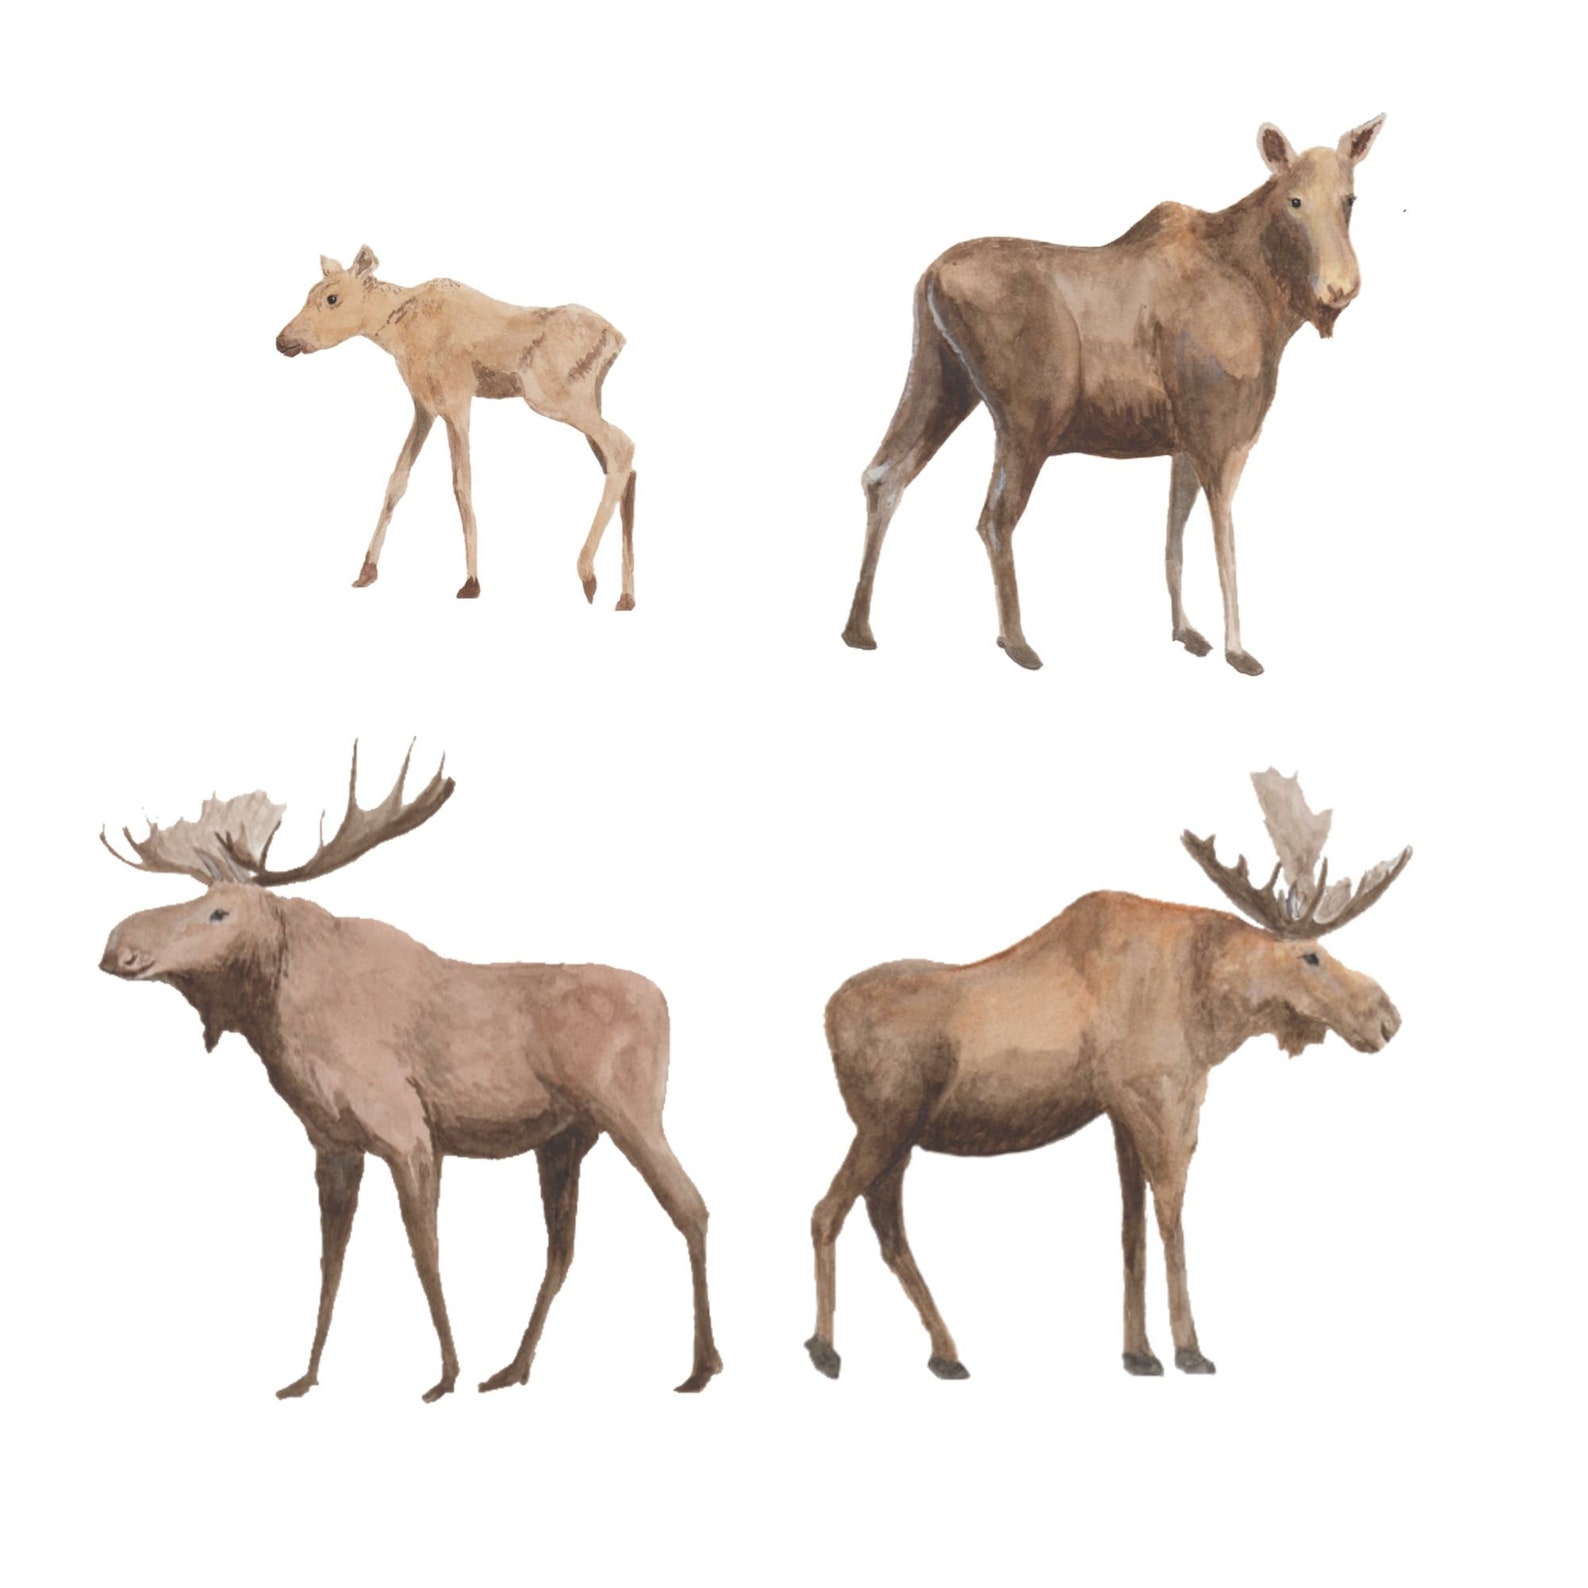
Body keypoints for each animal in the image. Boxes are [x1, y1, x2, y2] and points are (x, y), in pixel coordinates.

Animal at [98, 747, 720, 1401]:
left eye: (219, 912)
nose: (118, 947)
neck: (281, 1021)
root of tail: (663, 999)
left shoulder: (409, 1133)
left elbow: (425, 1253)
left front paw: (445, 1373)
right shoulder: (333, 1143)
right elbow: (331, 1261)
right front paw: (307, 1375)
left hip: (633, 1113)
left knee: (692, 1209)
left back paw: (701, 1366)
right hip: (564, 1139)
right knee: (562, 1249)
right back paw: (514, 1368)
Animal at [276, 248, 637, 606]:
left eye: (332, 298)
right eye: (309, 293)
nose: (282, 340)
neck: (395, 333)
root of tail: (618, 339)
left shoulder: (457, 400)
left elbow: (462, 484)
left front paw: (471, 581)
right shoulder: (424, 408)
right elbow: (396, 482)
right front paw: (367, 570)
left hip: (554, 397)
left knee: (622, 446)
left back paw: (587, 573)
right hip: (587, 400)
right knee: (622, 464)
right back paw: (625, 595)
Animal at [806, 771, 1409, 1382]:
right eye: (1311, 956)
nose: (1387, 1017)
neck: (1212, 1009)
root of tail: (826, 1014)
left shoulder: (1120, 1112)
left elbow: (1130, 1230)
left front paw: (1138, 1353)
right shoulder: (1164, 1096)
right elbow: (1169, 1215)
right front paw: (1189, 1349)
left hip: (901, 1138)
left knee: (887, 1229)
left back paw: (945, 1353)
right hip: (885, 1122)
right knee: (827, 1212)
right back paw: (826, 1348)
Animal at [843, 116, 1387, 676]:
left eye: (1350, 198)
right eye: (1294, 200)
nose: (1340, 288)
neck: (1272, 305)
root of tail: (930, 279)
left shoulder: (1181, 444)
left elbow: (1173, 537)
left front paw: (1186, 631)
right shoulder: (1222, 435)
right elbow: (1224, 541)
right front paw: (1237, 649)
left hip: (940, 380)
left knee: (883, 476)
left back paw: (859, 629)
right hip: (1027, 418)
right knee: (993, 517)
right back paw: (1016, 640)